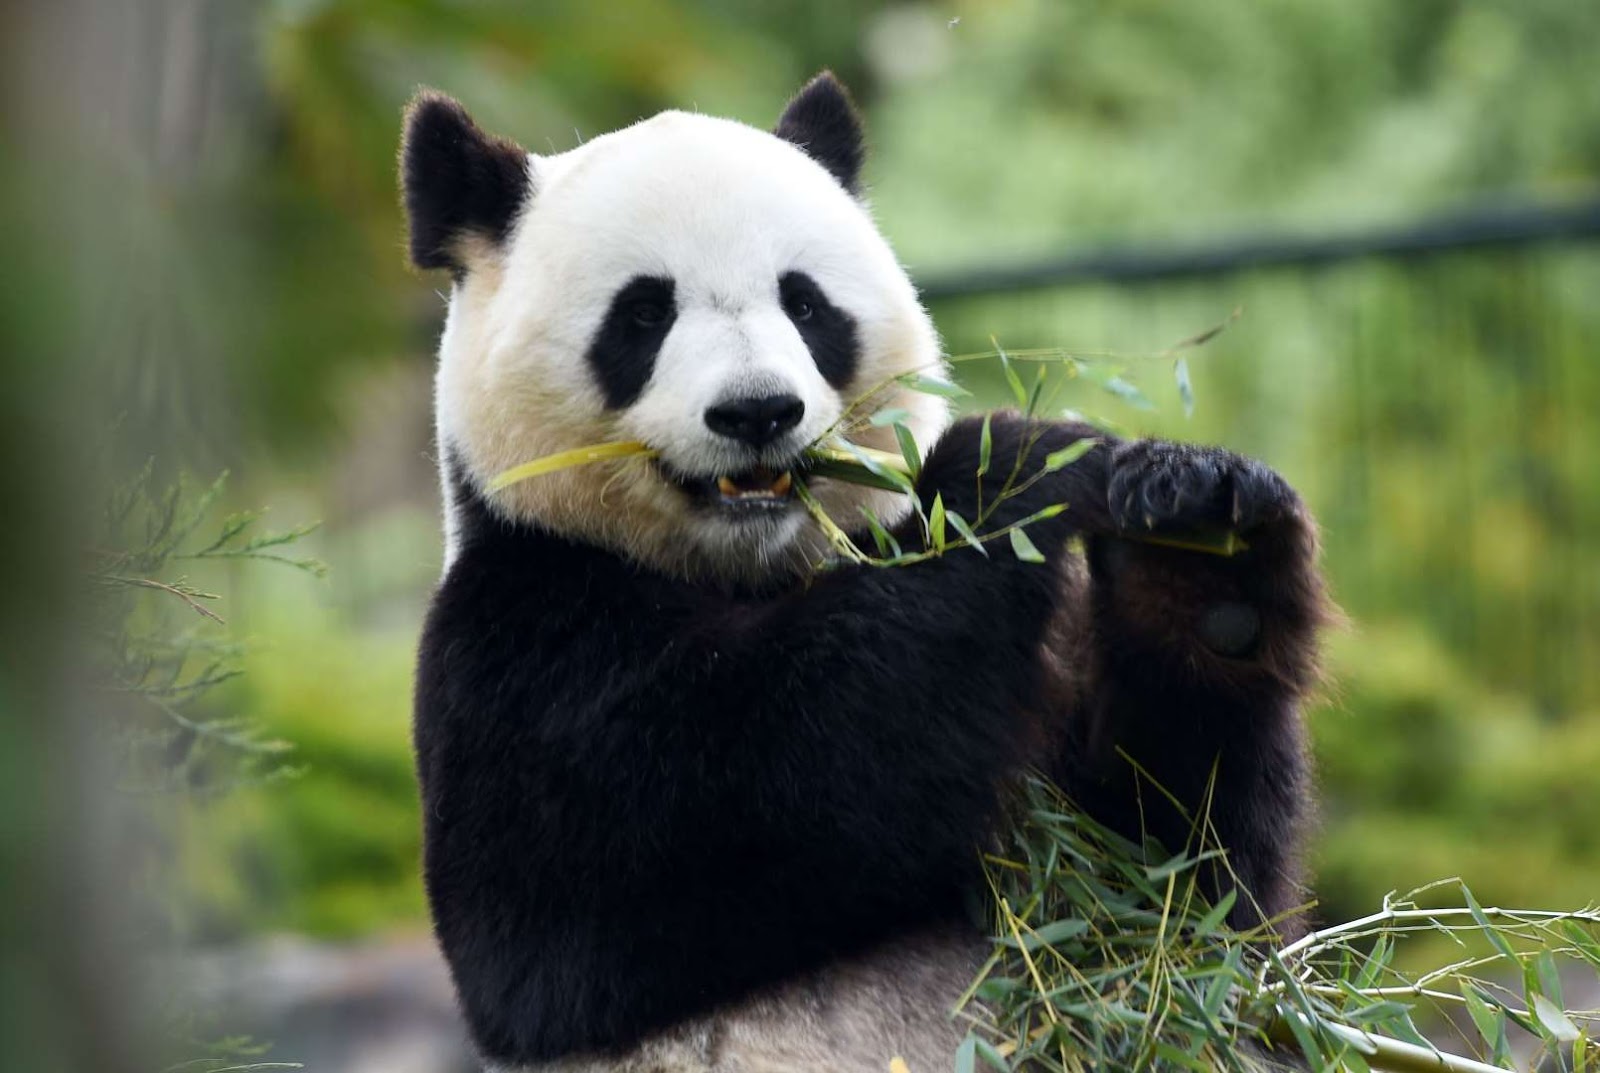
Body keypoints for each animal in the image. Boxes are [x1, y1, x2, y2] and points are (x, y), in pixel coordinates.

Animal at [403, 72, 1329, 1073]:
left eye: (806, 304)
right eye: (644, 313)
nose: (757, 411)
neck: (750, 569)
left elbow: (1179, 893)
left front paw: (1198, 541)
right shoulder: (517, 637)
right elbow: (736, 798)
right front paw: (1012, 465)